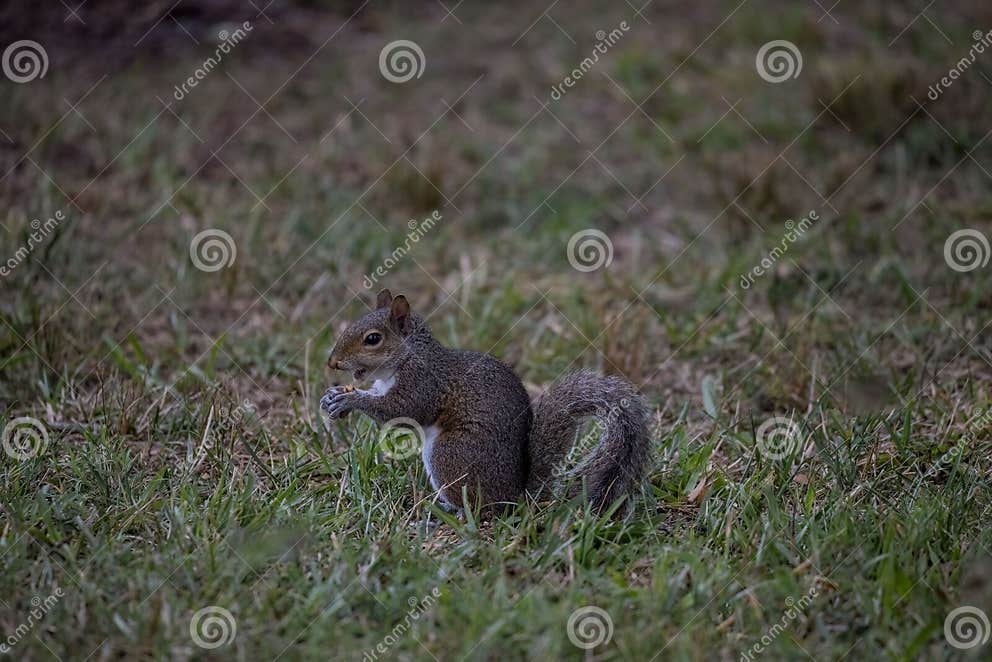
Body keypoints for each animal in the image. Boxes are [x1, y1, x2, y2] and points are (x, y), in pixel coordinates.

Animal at [320, 289, 650, 514]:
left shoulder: (423, 384)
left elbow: (400, 411)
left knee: (481, 508)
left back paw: (448, 511)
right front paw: (333, 397)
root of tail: (517, 496)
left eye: (372, 339)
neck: (407, 357)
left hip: (449, 454)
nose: (332, 362)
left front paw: (349, 400)